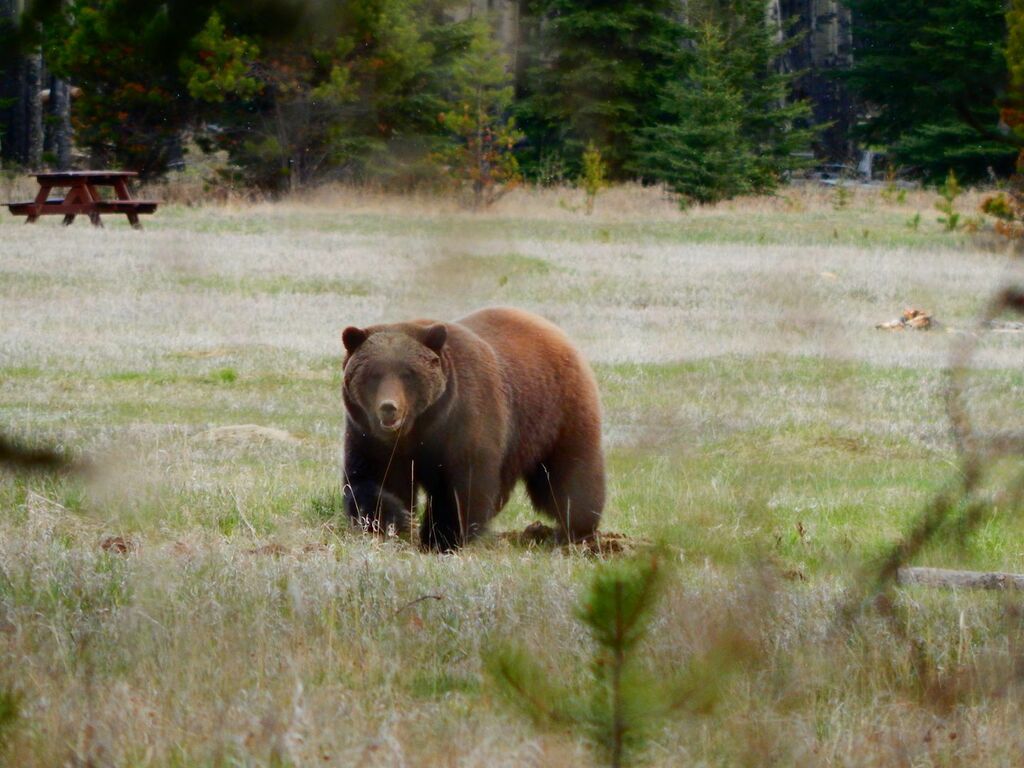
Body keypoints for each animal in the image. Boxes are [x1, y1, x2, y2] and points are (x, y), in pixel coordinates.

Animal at [340, 306, 605, 551]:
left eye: (408, 374)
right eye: (374, 373)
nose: (389, 407)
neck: (417, 429)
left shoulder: (465, 418)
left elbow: (463, 486)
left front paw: (441, 538)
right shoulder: (369, 437)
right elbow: (369, 479)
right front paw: (391, 519)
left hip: (556, 413)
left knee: (570, 475)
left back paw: (577, 529)